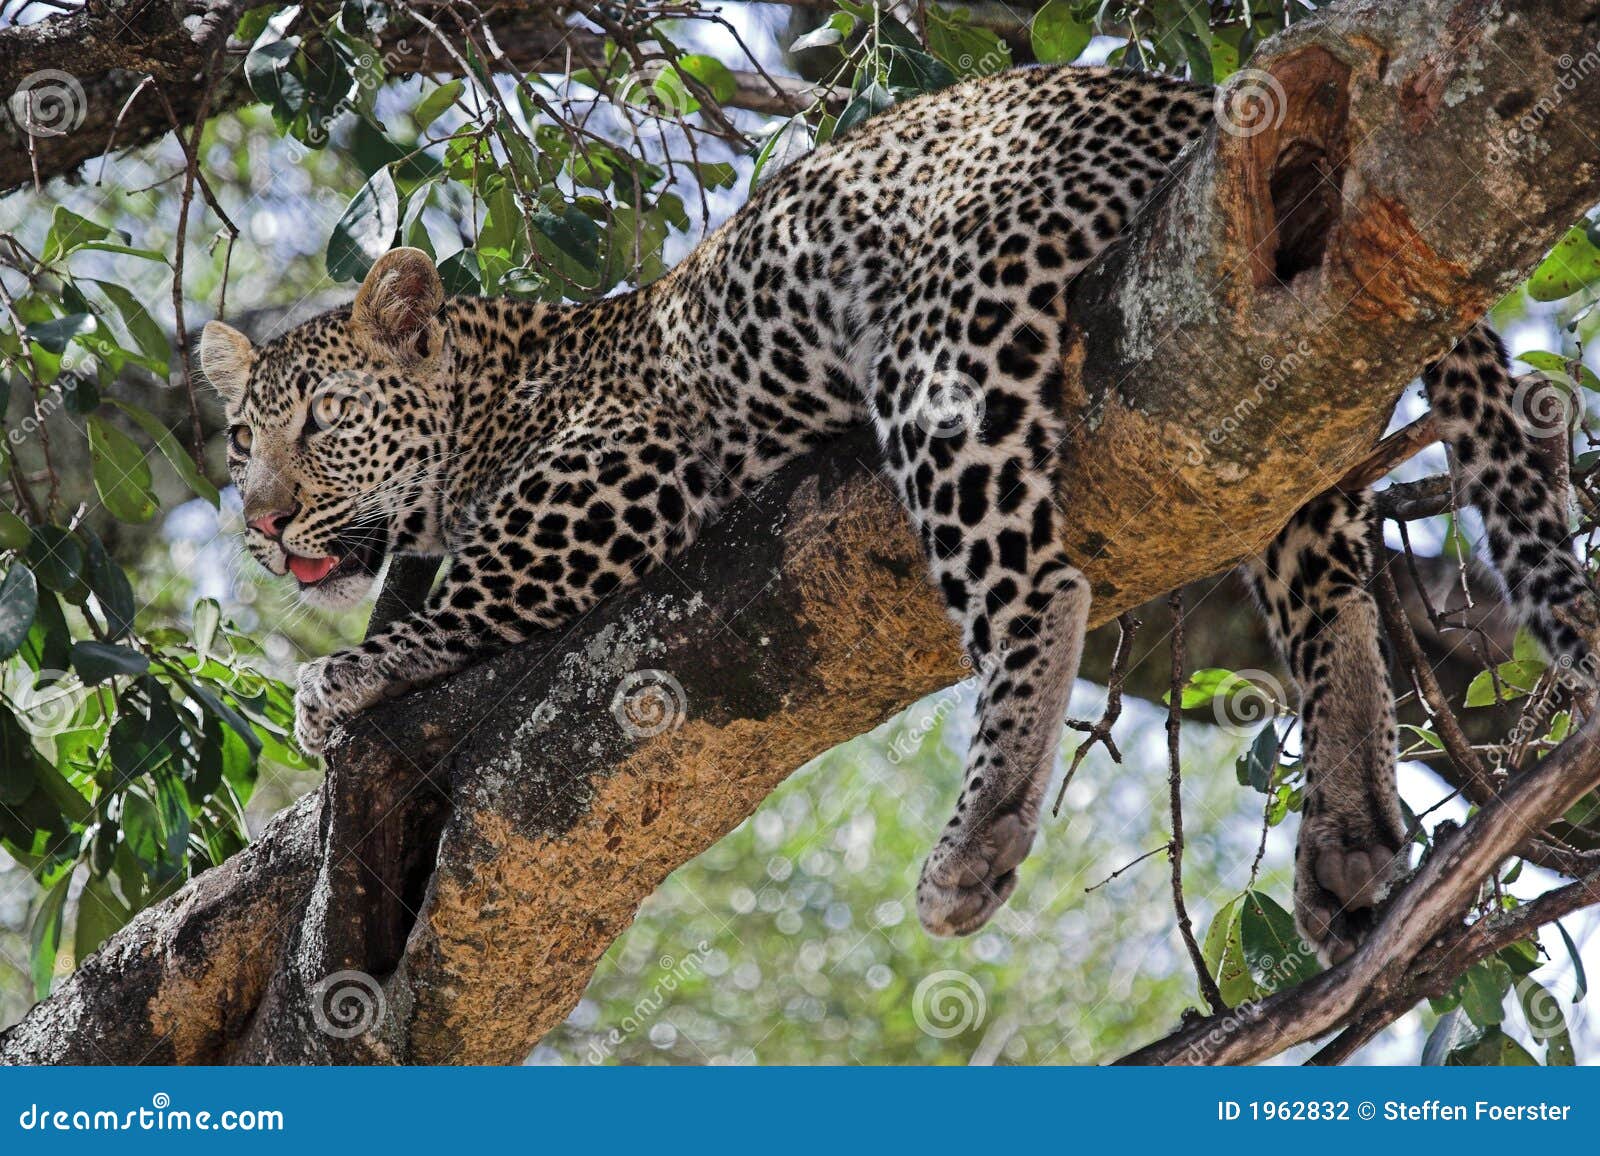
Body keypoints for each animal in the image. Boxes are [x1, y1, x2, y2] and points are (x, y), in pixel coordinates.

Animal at [201, 63, 1593, 963]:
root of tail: (1187, 101)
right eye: (238, 440)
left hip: (947, 349)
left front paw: (345, 678)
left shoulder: (623, 464)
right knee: (1334, 602)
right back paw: (1350, 835)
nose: (260, 525)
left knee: (1039, 590)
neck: (489, 391)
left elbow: (475, 585)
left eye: (322, 421)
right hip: (1284, 398)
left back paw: (975, 846)